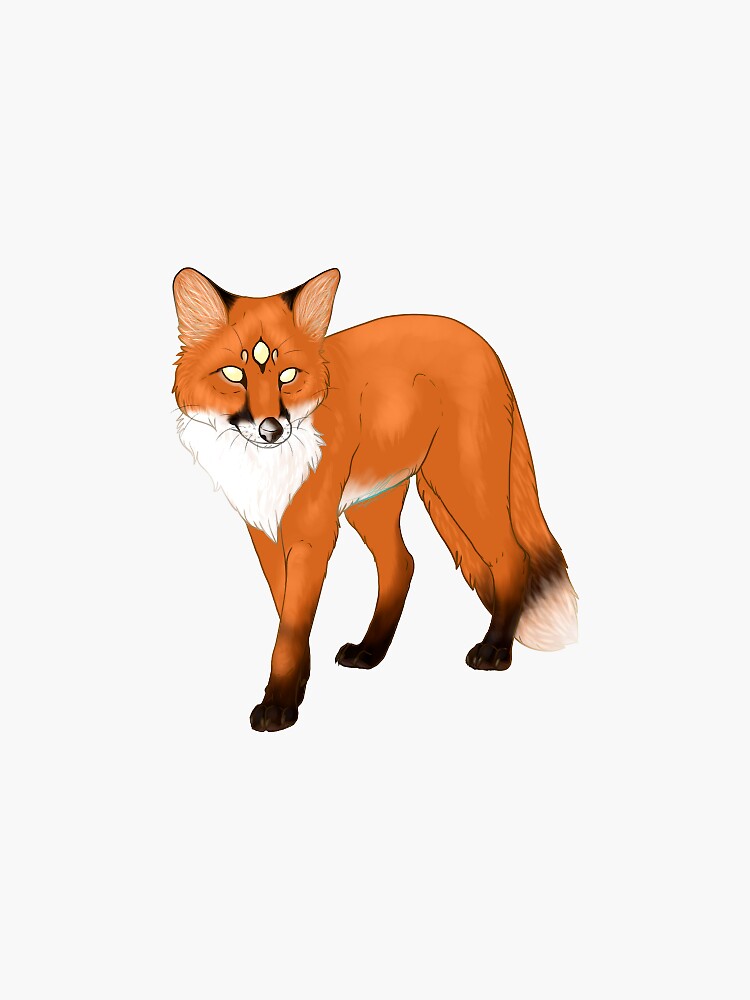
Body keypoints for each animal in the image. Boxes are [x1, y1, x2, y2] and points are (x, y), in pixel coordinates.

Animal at [172, 267, 577, 731]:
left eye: (287, 375)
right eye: (233, 375)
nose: (271, 430)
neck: (266, 467)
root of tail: (482, 343)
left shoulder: (312, 533)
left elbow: (290, 627)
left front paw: (279, 704)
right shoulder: (266, 532)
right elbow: (287, 614)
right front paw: (299, 685)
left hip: (460, 485)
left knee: (511, 556)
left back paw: (495, 650)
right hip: (374, 505)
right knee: (402, 564)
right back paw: (371, 651)